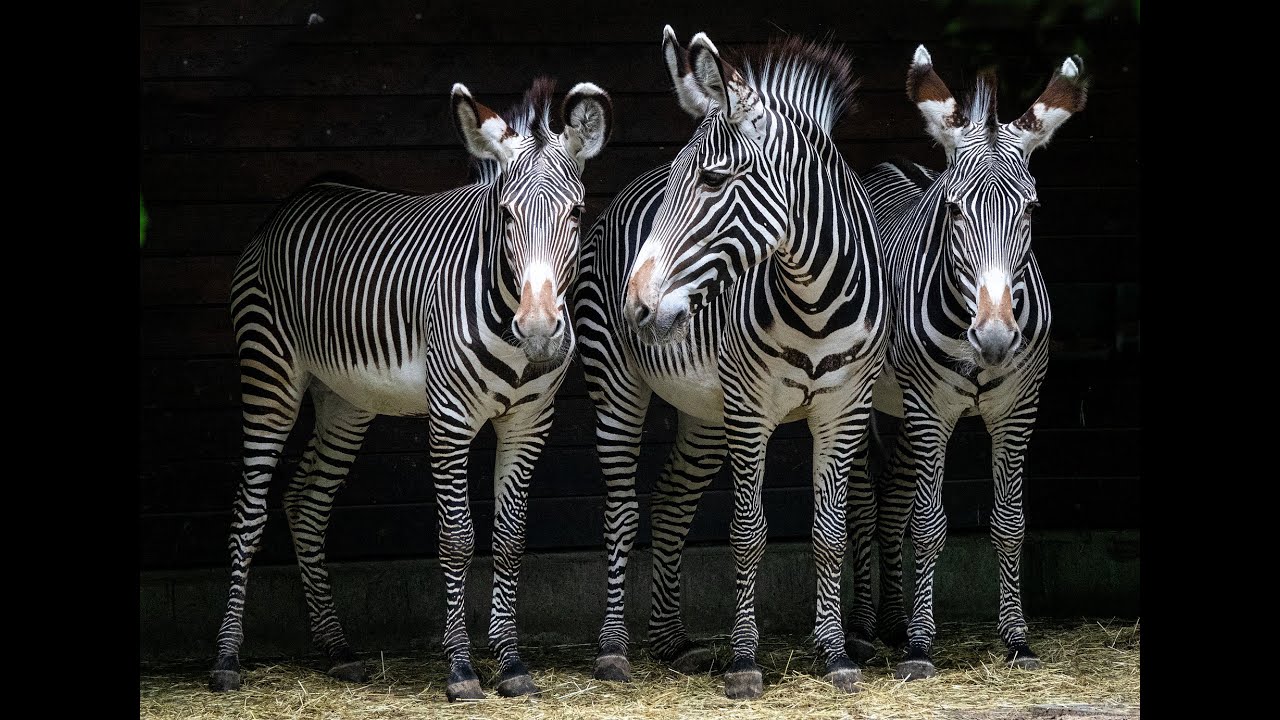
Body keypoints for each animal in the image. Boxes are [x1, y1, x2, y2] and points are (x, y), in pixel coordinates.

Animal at [208, 77, 612, 702]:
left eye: (577, 212)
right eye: (505, 215)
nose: (541, 331)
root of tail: (297, 199)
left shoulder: (529, 422)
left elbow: (510, 537)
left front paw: (511, 664)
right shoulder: (449, 418)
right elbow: (457, 538)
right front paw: (462, 670)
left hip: (345, 399)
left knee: (305, 503)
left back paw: (338, 651)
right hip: (269, 371)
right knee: (248, 512)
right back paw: (227, 659)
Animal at [574, 27, 887, 699]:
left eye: (714, 181)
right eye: (680, 181)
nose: (637, 306)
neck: (815, 300)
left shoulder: (844, 409)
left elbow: (829, 531)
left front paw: (835, 655)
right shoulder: (750, 410)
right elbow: (747, 531)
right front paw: (745, 661)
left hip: (704, 413)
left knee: (670, 502)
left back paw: (671, 642)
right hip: (619, 388)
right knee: (620, 511)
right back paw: (613, 651)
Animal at [858, 46, 1088, 680]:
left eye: (1031, 210)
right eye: (954, 211)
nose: (994, 338)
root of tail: (889, 167)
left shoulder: (1019, 409)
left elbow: (1009, 524)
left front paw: (1017, 641)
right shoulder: (930, 411)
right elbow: (929, 525)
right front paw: (920, 648)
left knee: (891, 499)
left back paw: (890, 622)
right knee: (867, 502)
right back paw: (869, 630)